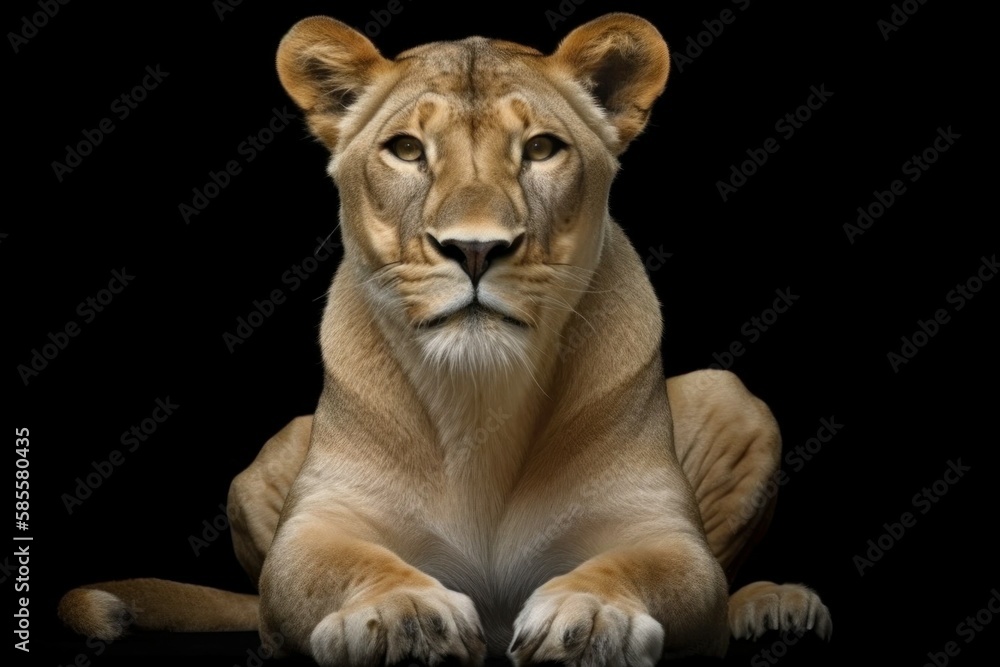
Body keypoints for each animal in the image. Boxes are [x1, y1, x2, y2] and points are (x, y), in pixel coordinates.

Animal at [58, 13, 831, 666]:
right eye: (406, 149)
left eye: (542, 149)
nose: (475, 248)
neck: (480, 403)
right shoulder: (313, 528)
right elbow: (344, 563)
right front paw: (405, 613)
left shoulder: (662, 530)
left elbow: (651, 567)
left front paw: (589, 615)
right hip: (269, 459)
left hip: (733, 397)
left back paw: (776, 605)